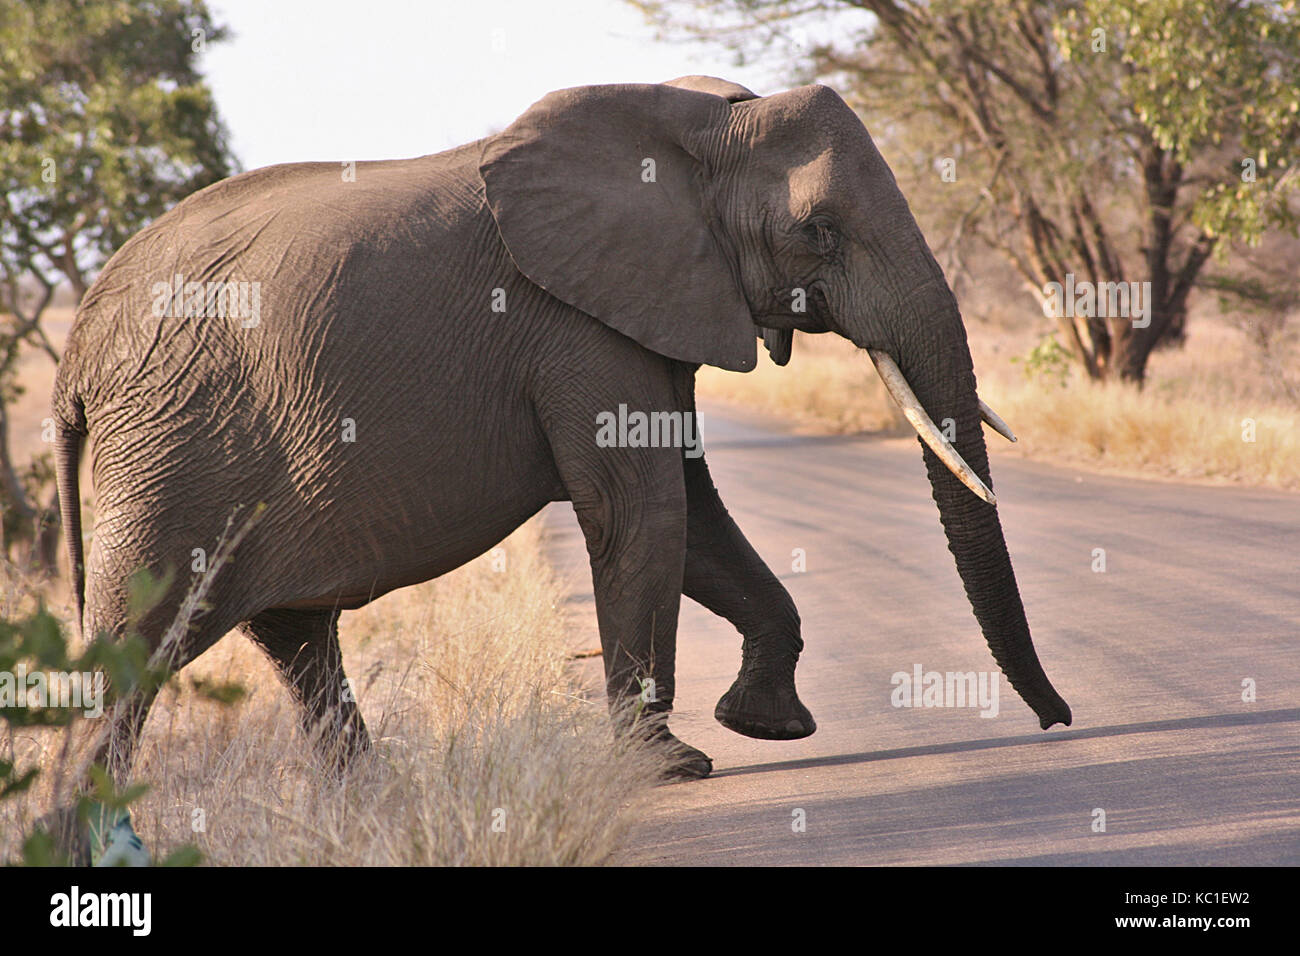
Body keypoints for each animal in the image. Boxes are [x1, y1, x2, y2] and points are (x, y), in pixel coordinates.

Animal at [51, 74, 1071, 792]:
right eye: (819, 230)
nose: (1057, 722)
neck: (700, 125)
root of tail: (75, 354)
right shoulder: (580, 321)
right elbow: (644, 509)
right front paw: (675, 769)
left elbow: (694, 515)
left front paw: (765, 725)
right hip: (170, 446)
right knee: (131, 656)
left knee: (298, 638)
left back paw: (367, 805)